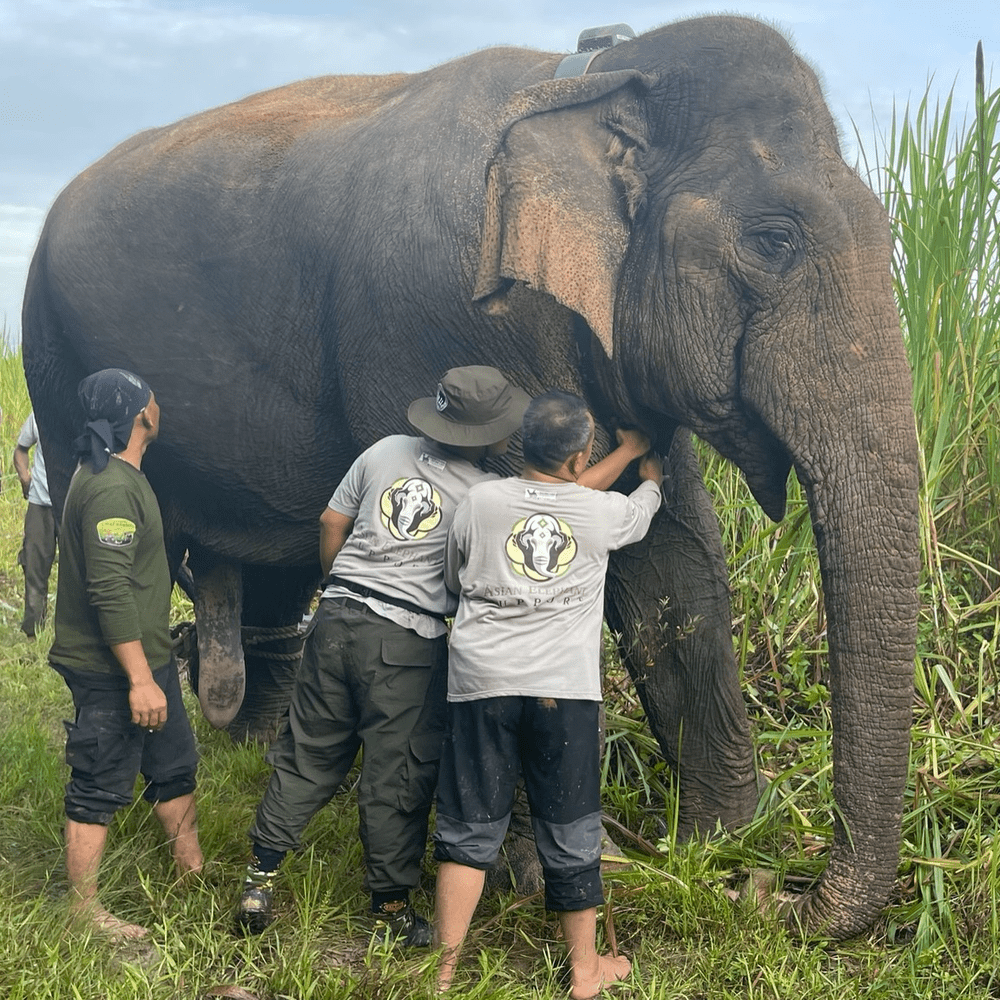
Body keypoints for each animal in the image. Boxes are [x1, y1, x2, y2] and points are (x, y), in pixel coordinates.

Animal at [21, 14, 919, 939]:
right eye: (772, 241)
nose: (776, 891)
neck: (597, 73)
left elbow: (675, 563)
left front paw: (719, 842)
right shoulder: (445, 319)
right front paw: (566, 872)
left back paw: (257, 755)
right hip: (48, 346)